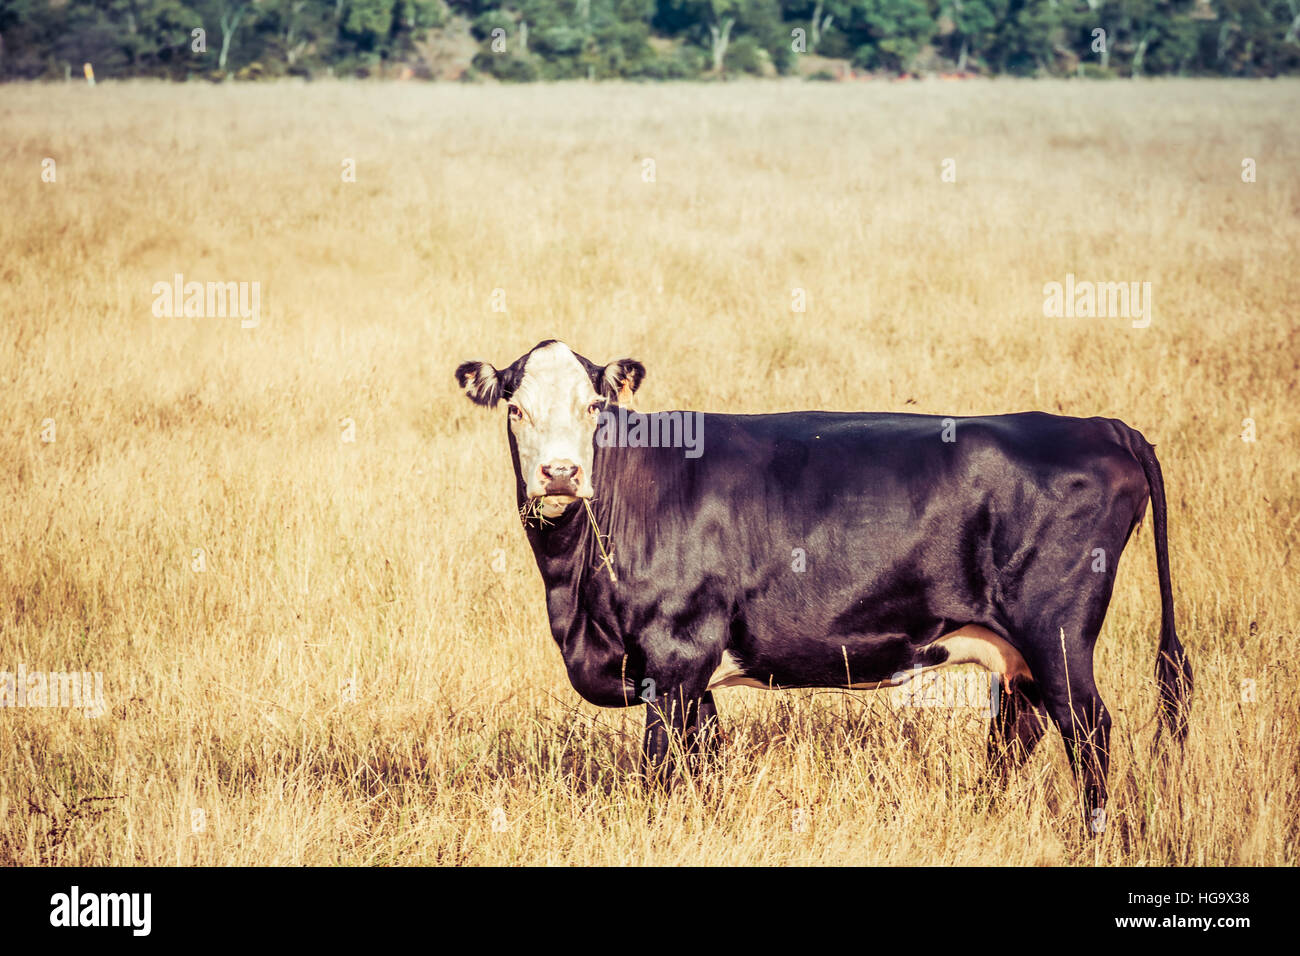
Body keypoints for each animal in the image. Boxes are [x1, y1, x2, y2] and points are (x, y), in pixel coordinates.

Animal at [455, 339, 1193, 826]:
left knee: (1088, 728)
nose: (559, 474)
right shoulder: (695, 673)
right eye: (515, 409)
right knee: (1021, 725)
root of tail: (1100, 426)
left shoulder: (673, 652)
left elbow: (662, 770)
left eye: (594, 407)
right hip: (1021, 648)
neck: (574, 589)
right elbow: (704, 760)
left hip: (1058, 632)